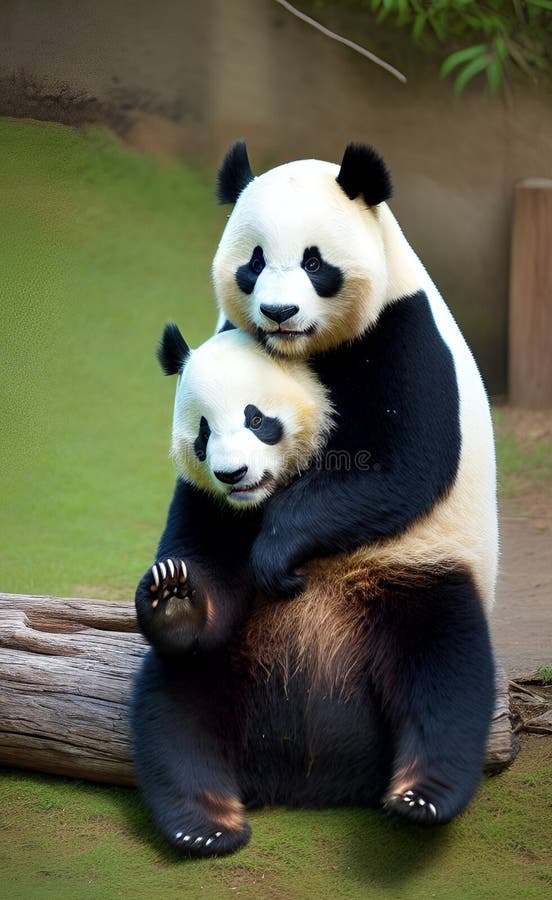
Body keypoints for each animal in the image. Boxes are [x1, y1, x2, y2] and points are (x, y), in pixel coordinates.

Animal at [132, 314, 495, 858]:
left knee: (447, 675)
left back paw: (421, 795)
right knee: (176, 703)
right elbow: (204, 570)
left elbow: (384, 476)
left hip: (416, 588)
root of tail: (311, 777)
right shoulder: (207, 502)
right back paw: (205, 824)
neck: (263, 497)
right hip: (235, 662)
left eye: (256, 419)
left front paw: (275, 555)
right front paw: (175, 593)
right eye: (202, 432)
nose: (232, 473)